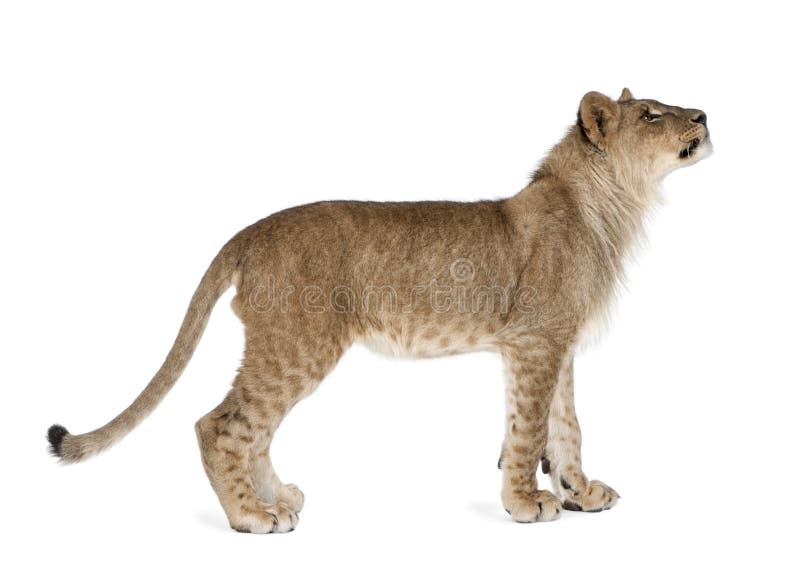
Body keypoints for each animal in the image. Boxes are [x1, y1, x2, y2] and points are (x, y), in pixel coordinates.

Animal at [47, 88, 711, 532]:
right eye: (651, 114)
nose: (704, 116)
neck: (612, 204)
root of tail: (251, 232)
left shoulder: (556, 343)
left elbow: (566, 426)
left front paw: (581, 493)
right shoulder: (534, 342)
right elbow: (528, 428)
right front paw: (526, 504)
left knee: (254, 429)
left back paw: (277, 498)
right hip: (299, 344)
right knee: (221, 424)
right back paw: (251, 516)